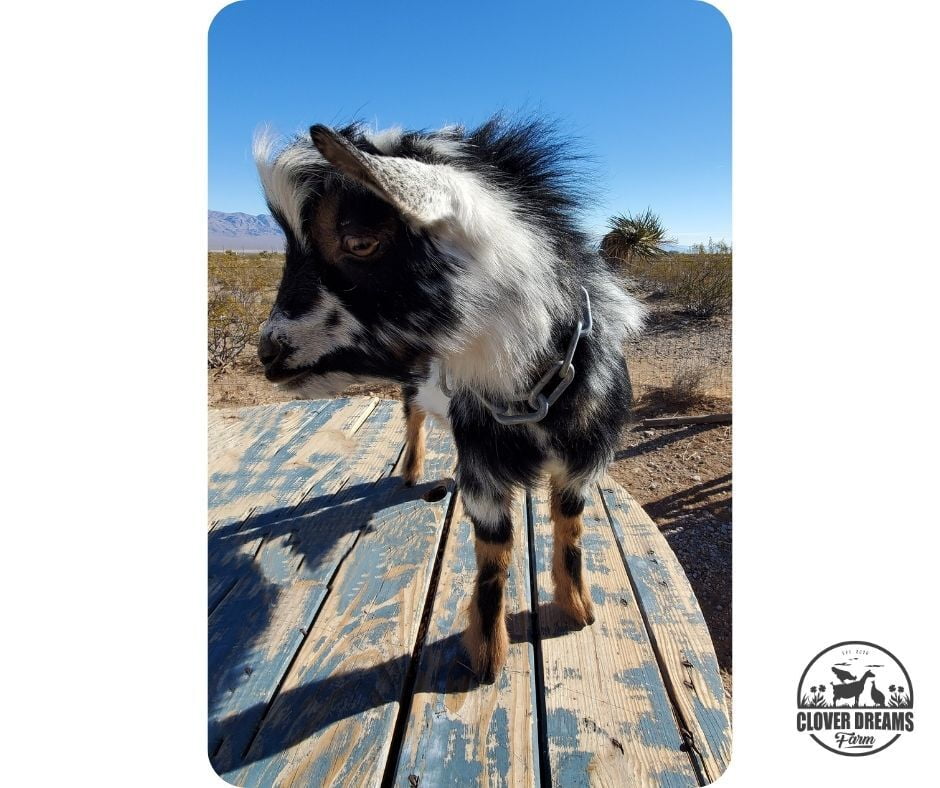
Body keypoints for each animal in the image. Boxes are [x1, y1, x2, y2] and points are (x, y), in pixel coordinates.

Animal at [253, 117, 645, 682]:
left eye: (359, 240)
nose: (267, 351)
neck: (539, 397)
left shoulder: (581, 467)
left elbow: (570, 533)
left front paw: (577, 609)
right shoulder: (482, 474)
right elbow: (494, 557)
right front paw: (486, 656)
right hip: (412, 389)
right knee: (412, 417)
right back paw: (411, 471)